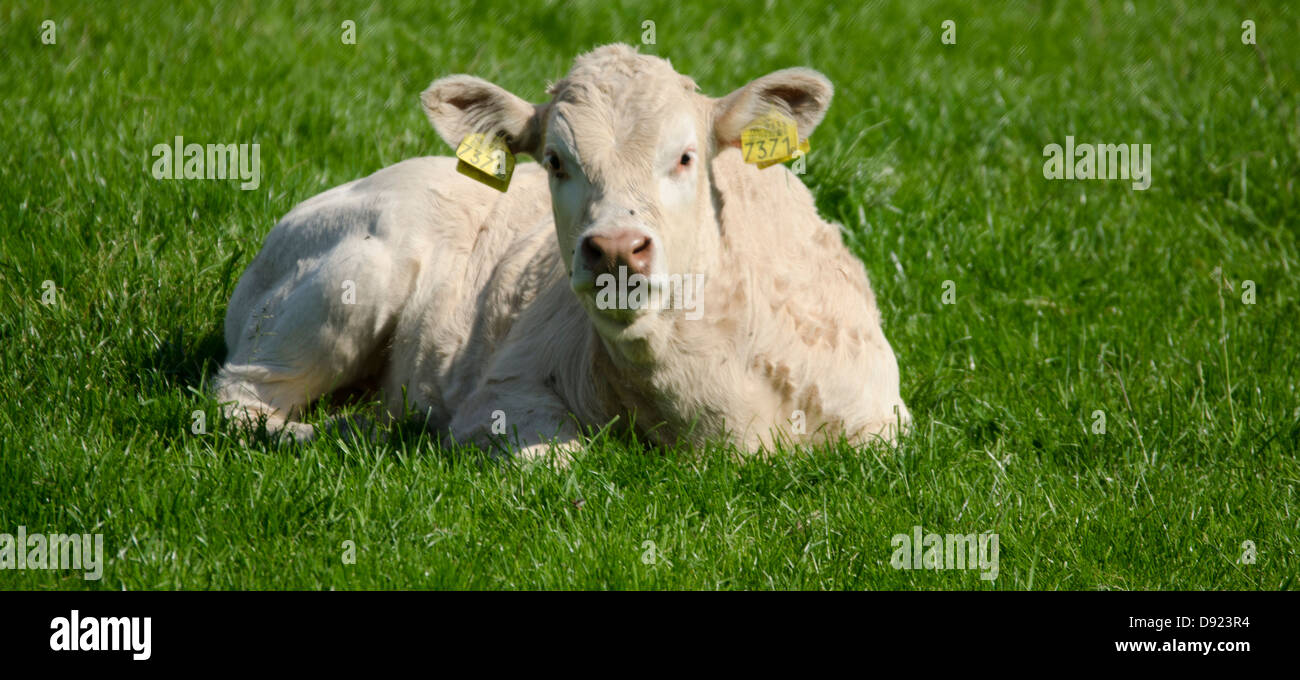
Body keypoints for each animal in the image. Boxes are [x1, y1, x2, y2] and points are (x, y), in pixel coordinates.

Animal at [213, 43, 909, 463]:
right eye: (554, 161)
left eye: (686, 157)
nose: (616, 248)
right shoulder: (501, 390)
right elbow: (557, 458)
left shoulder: (884, 425)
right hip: (348, 283)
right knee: (239, 397)